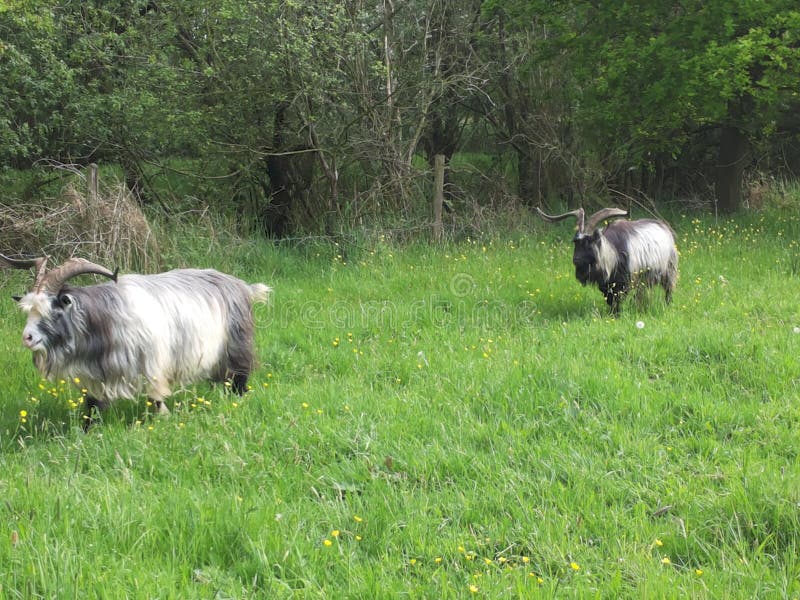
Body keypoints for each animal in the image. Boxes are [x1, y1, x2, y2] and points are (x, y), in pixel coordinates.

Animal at [1, 254, 271, 427]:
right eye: (29, 311)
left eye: (54, 312)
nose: (27, 338)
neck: (102, 322)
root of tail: (242, 287)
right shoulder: (97, 375)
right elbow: (93, 406)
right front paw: (87, 431)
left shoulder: (152, 363)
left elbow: (156, 396)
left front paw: (163, 419)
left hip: (235, 346)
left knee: (239, 377)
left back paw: (237, 402)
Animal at [536, 207, 678, 314]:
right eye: (575, 242)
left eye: (589, 242)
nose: (576, 260)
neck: (613, 254)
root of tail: (664, 227)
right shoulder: (606, 285)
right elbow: (610, 300)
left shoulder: (624, 282)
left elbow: (617, 300)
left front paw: (617, 315)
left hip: (669, 268)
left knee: (669, 289)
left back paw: (667, 306)